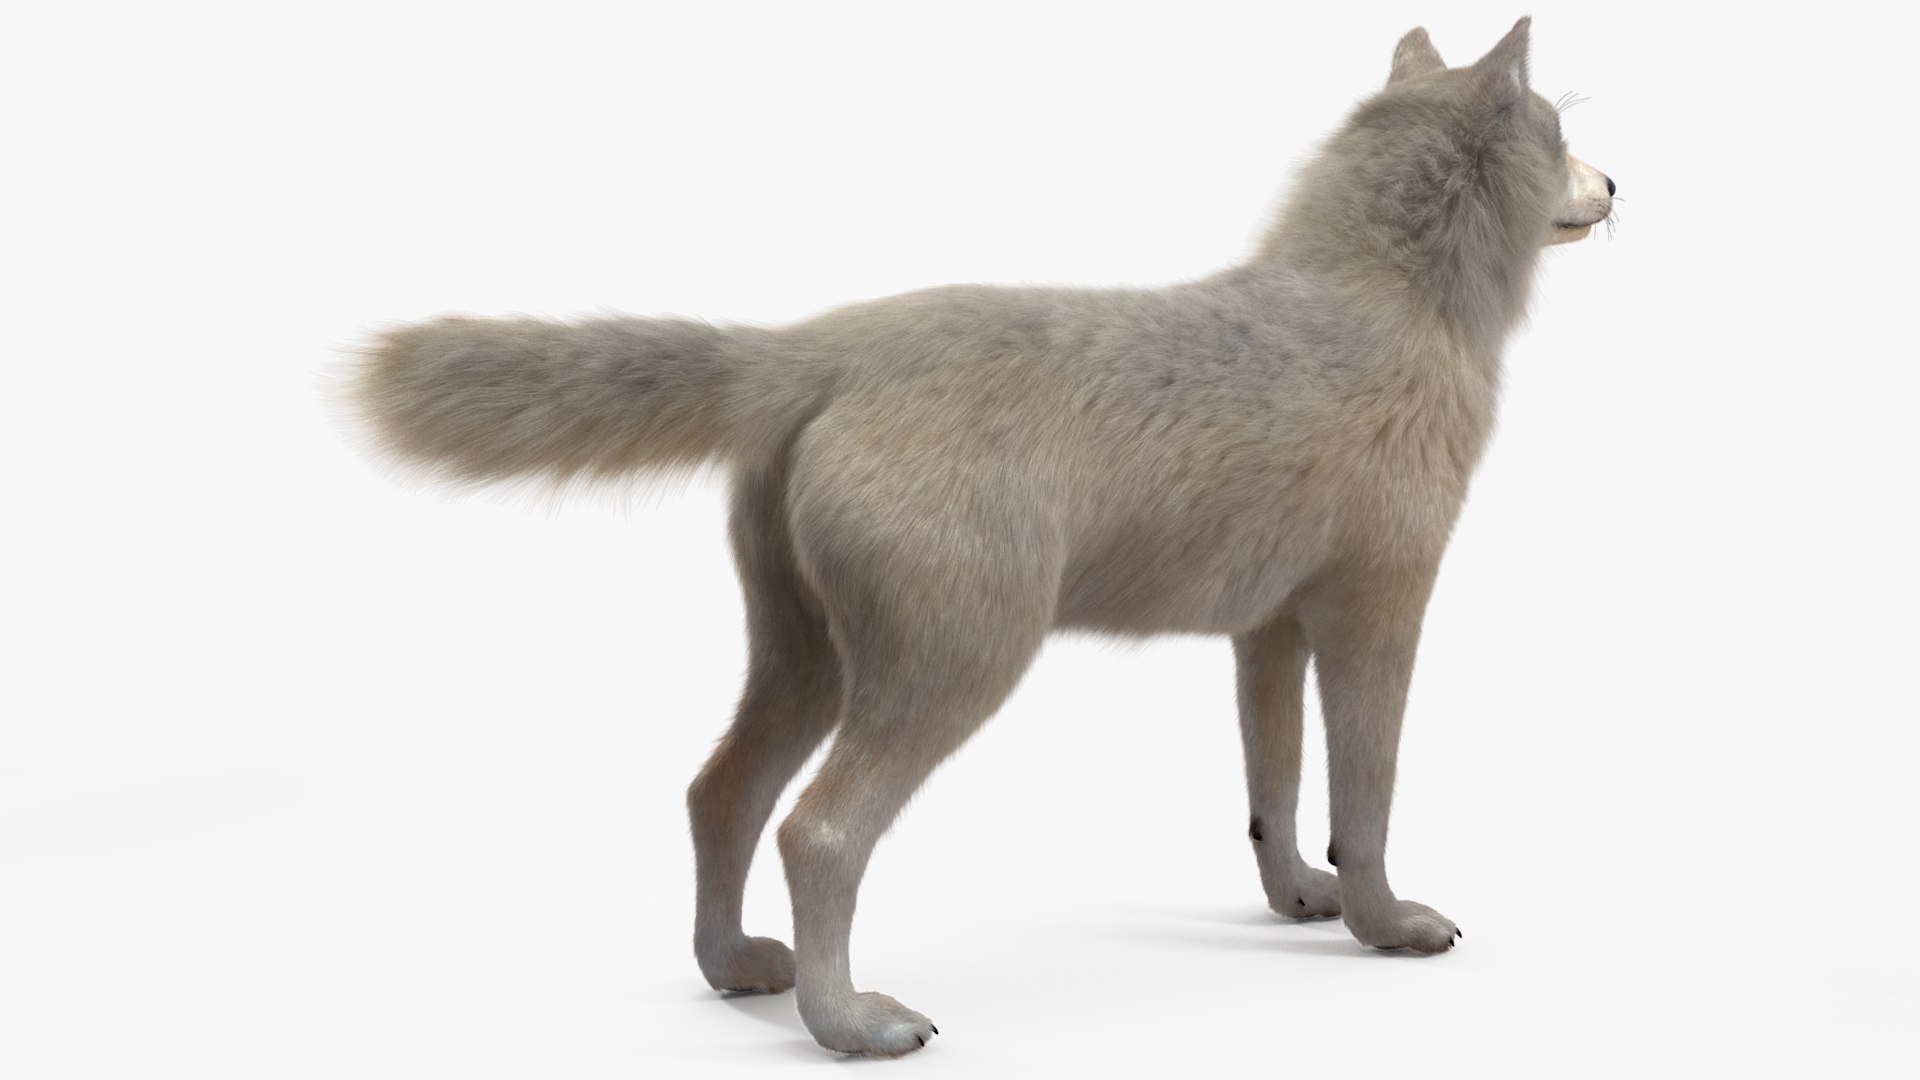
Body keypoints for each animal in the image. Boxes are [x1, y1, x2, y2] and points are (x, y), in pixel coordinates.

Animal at [346, 18, 1611, 1056]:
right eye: (1558, 137)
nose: (1617, 184)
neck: (1381, 303)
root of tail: (814, 352)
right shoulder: (1377, 613)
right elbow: (1368, 798)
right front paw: (1384, 924)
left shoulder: (1267, 633)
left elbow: (1277, 790)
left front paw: (1301, 899)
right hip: (954, 664)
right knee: (817, 831)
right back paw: (849, 1024)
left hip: (809, 655)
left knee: (722, 794)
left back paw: (738, 969)